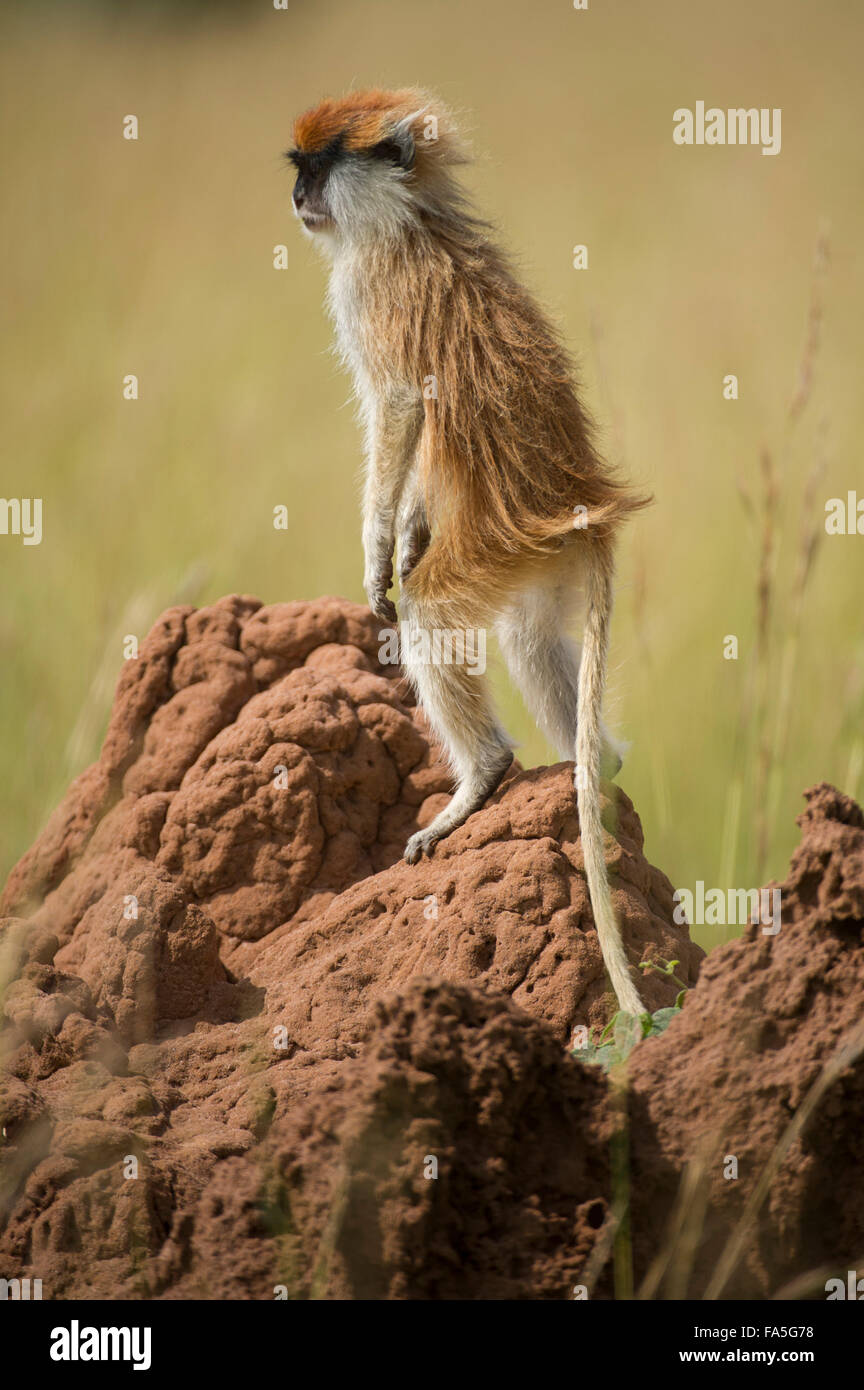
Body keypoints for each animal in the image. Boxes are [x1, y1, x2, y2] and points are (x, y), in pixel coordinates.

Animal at [286, 89, 650, 1016]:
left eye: (320, 165)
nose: (298, 198)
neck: (413, 217)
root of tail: (582, 511)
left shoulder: (366, 289)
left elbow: (401, 410)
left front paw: (381, 552)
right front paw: (409, 529)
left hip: (488, 556)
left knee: (429, 612)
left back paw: (482, 778)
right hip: (532, 565)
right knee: (529, 637)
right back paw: (595, 768)